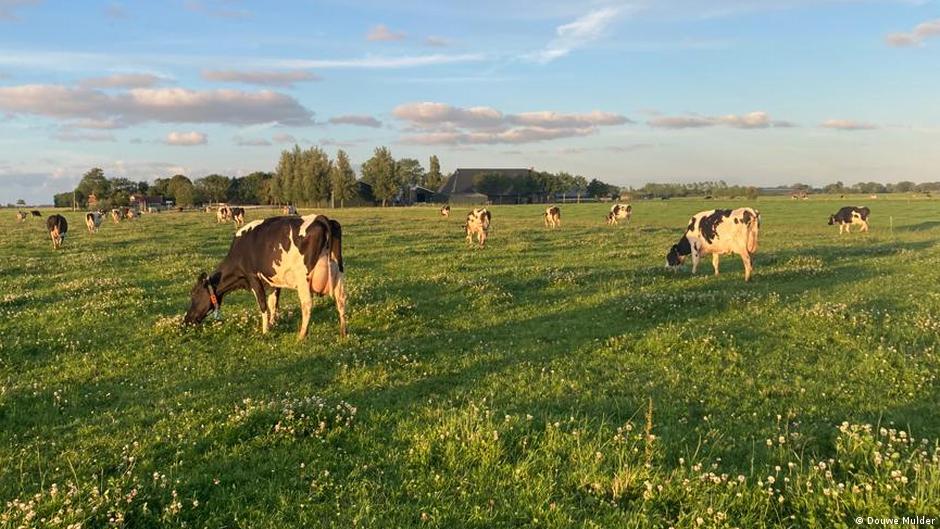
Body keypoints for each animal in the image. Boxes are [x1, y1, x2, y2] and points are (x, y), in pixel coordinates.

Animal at [184, 214, 347, 339]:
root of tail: (319, 217)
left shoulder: (253, 277)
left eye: (194, 294)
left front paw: (265, 330)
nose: (186, 320)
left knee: (307, 304)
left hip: (303, 278)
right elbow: (273, 303)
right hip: (338, 272)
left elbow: (263, 305)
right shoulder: (274, 281)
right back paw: (343, 333)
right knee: (341, 300)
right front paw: (273, 324)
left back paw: (301, 335)